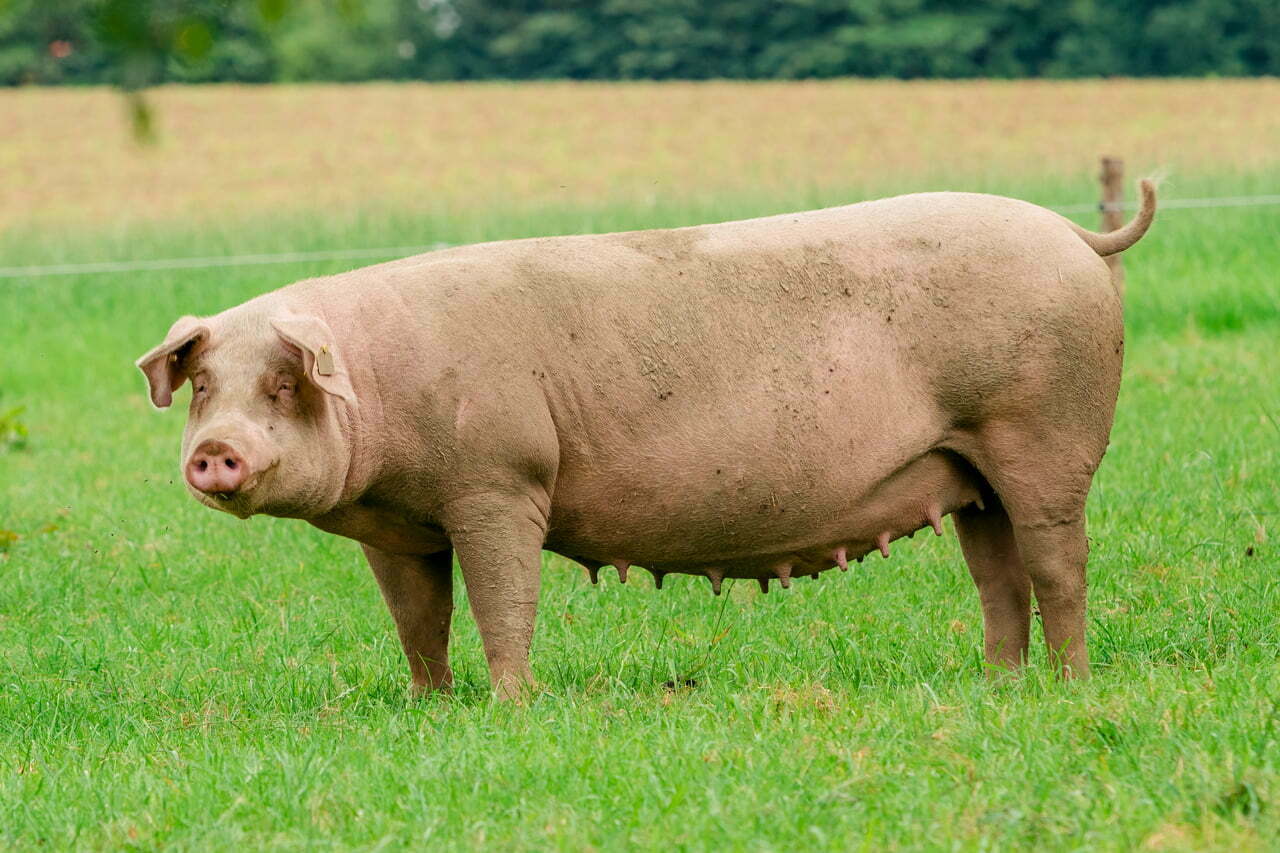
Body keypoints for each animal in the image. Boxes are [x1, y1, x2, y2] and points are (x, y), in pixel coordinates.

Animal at [137, 182, 1156, 699]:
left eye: (283, 384)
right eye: (204, 388)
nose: (215, 449)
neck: (383, 384)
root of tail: (1079, 234)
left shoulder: (501, 481)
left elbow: (502, 602)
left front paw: (511, 707)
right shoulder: (401, 529)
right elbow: (417, 619)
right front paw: (431, 704)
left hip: (1042, 431)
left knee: (1057, 558)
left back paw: (1069, 685)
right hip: (967, 465)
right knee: (998, 572)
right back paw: (999, 685)